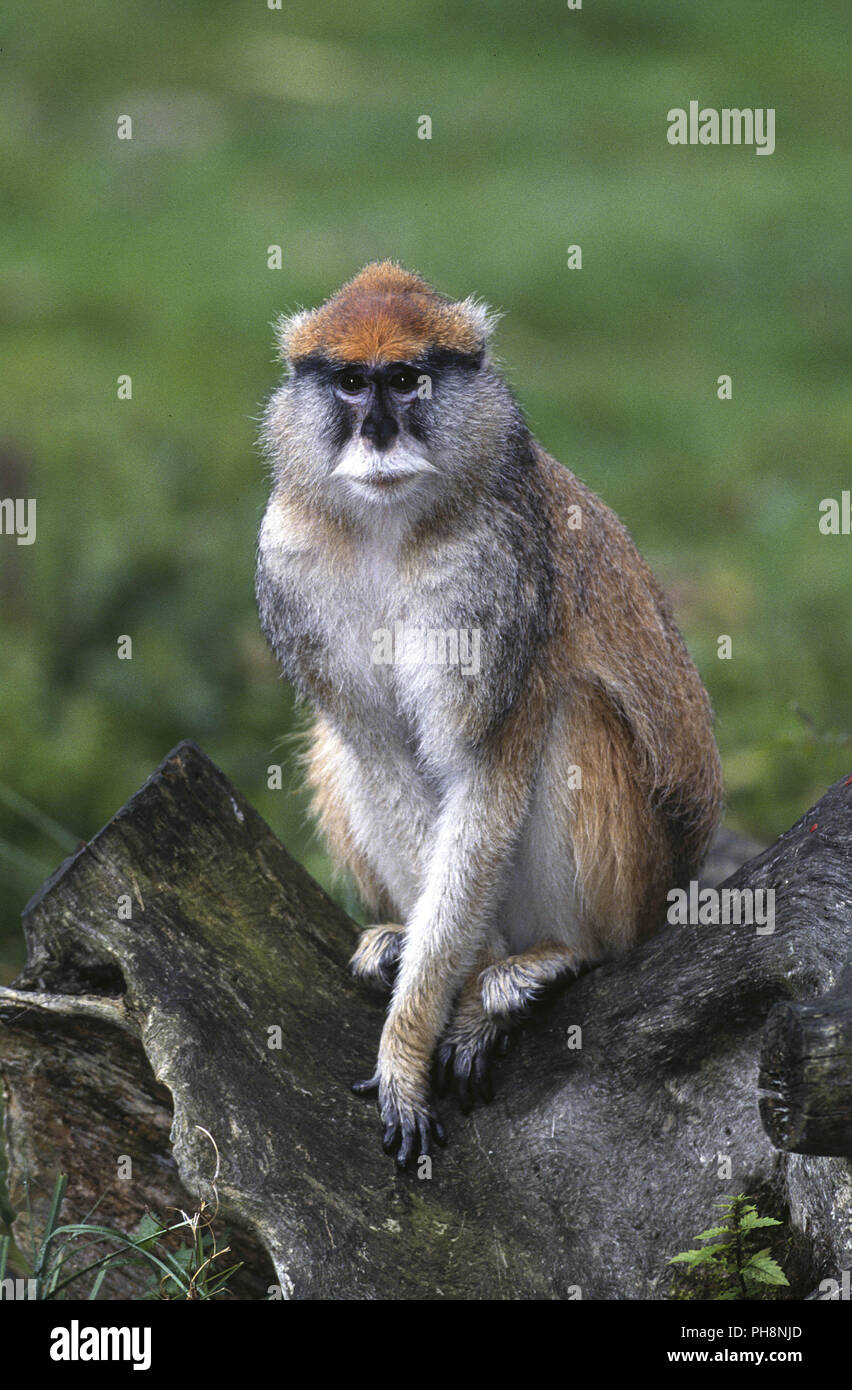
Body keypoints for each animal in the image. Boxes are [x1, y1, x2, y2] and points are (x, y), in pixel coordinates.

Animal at [256, 261, 723, 1167]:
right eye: (351, 382)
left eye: (407, 380)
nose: (378, 435)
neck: (393, 529)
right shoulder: (289, 559)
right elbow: (377, 751)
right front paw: (431, 1014)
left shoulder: (494, 584)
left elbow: (486, 772)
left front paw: (443, 1020)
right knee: (339, 743)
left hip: (640, 886)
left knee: (573, 710)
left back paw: (556, 960)